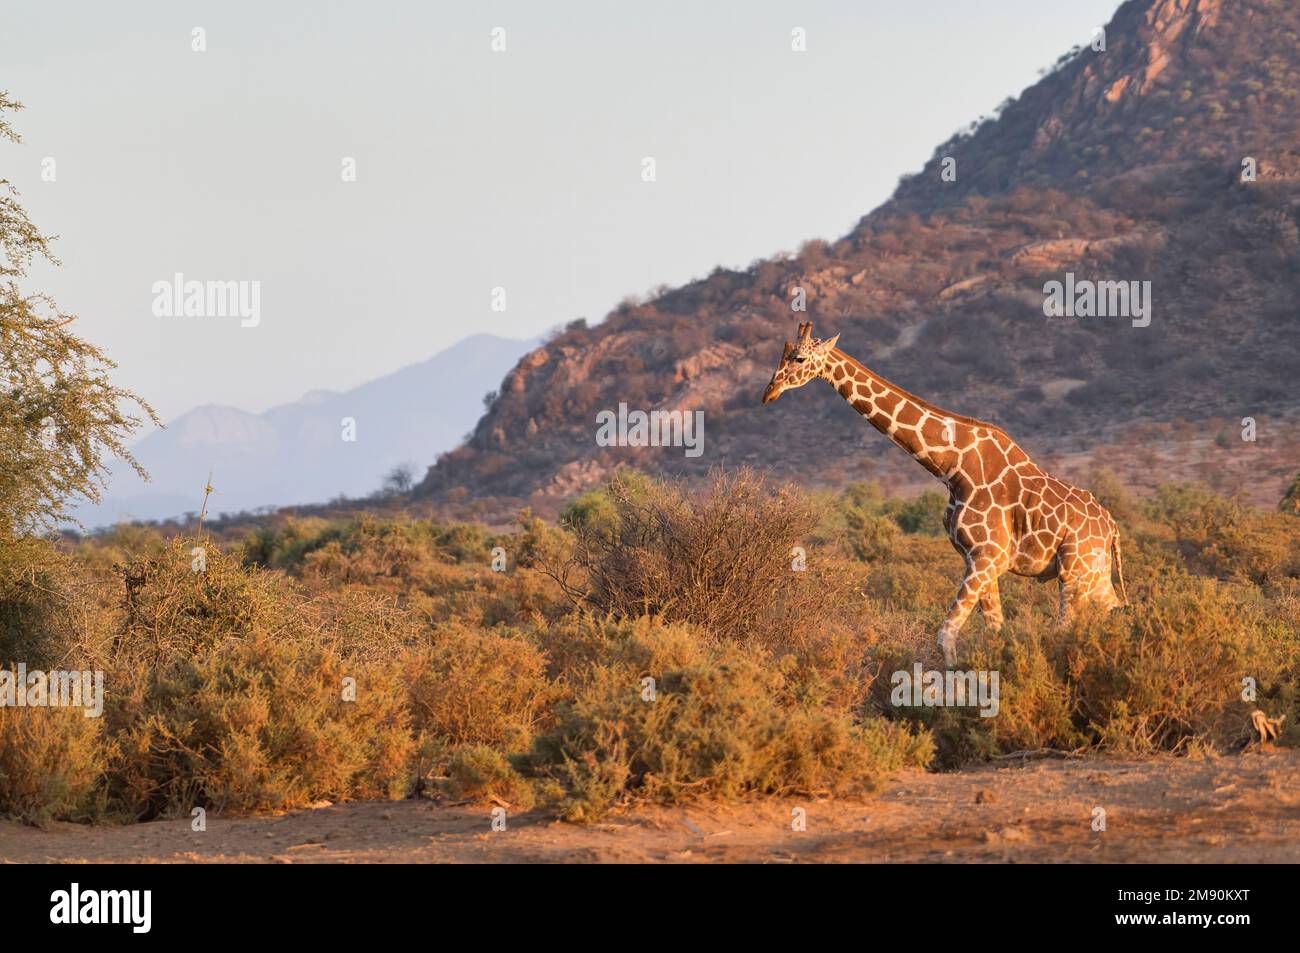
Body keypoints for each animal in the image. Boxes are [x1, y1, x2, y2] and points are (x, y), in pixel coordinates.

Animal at [762, 321, 1127, 666]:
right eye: (782, 354)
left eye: (799, 358)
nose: (769, 392)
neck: (953, 467)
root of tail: (1111, 526)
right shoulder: (978, 560)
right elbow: (995, 632)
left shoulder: (987, 556)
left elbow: (946, 635)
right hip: (1094, 573)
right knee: (1116, 611)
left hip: (1073, 571)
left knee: (1068, 628)